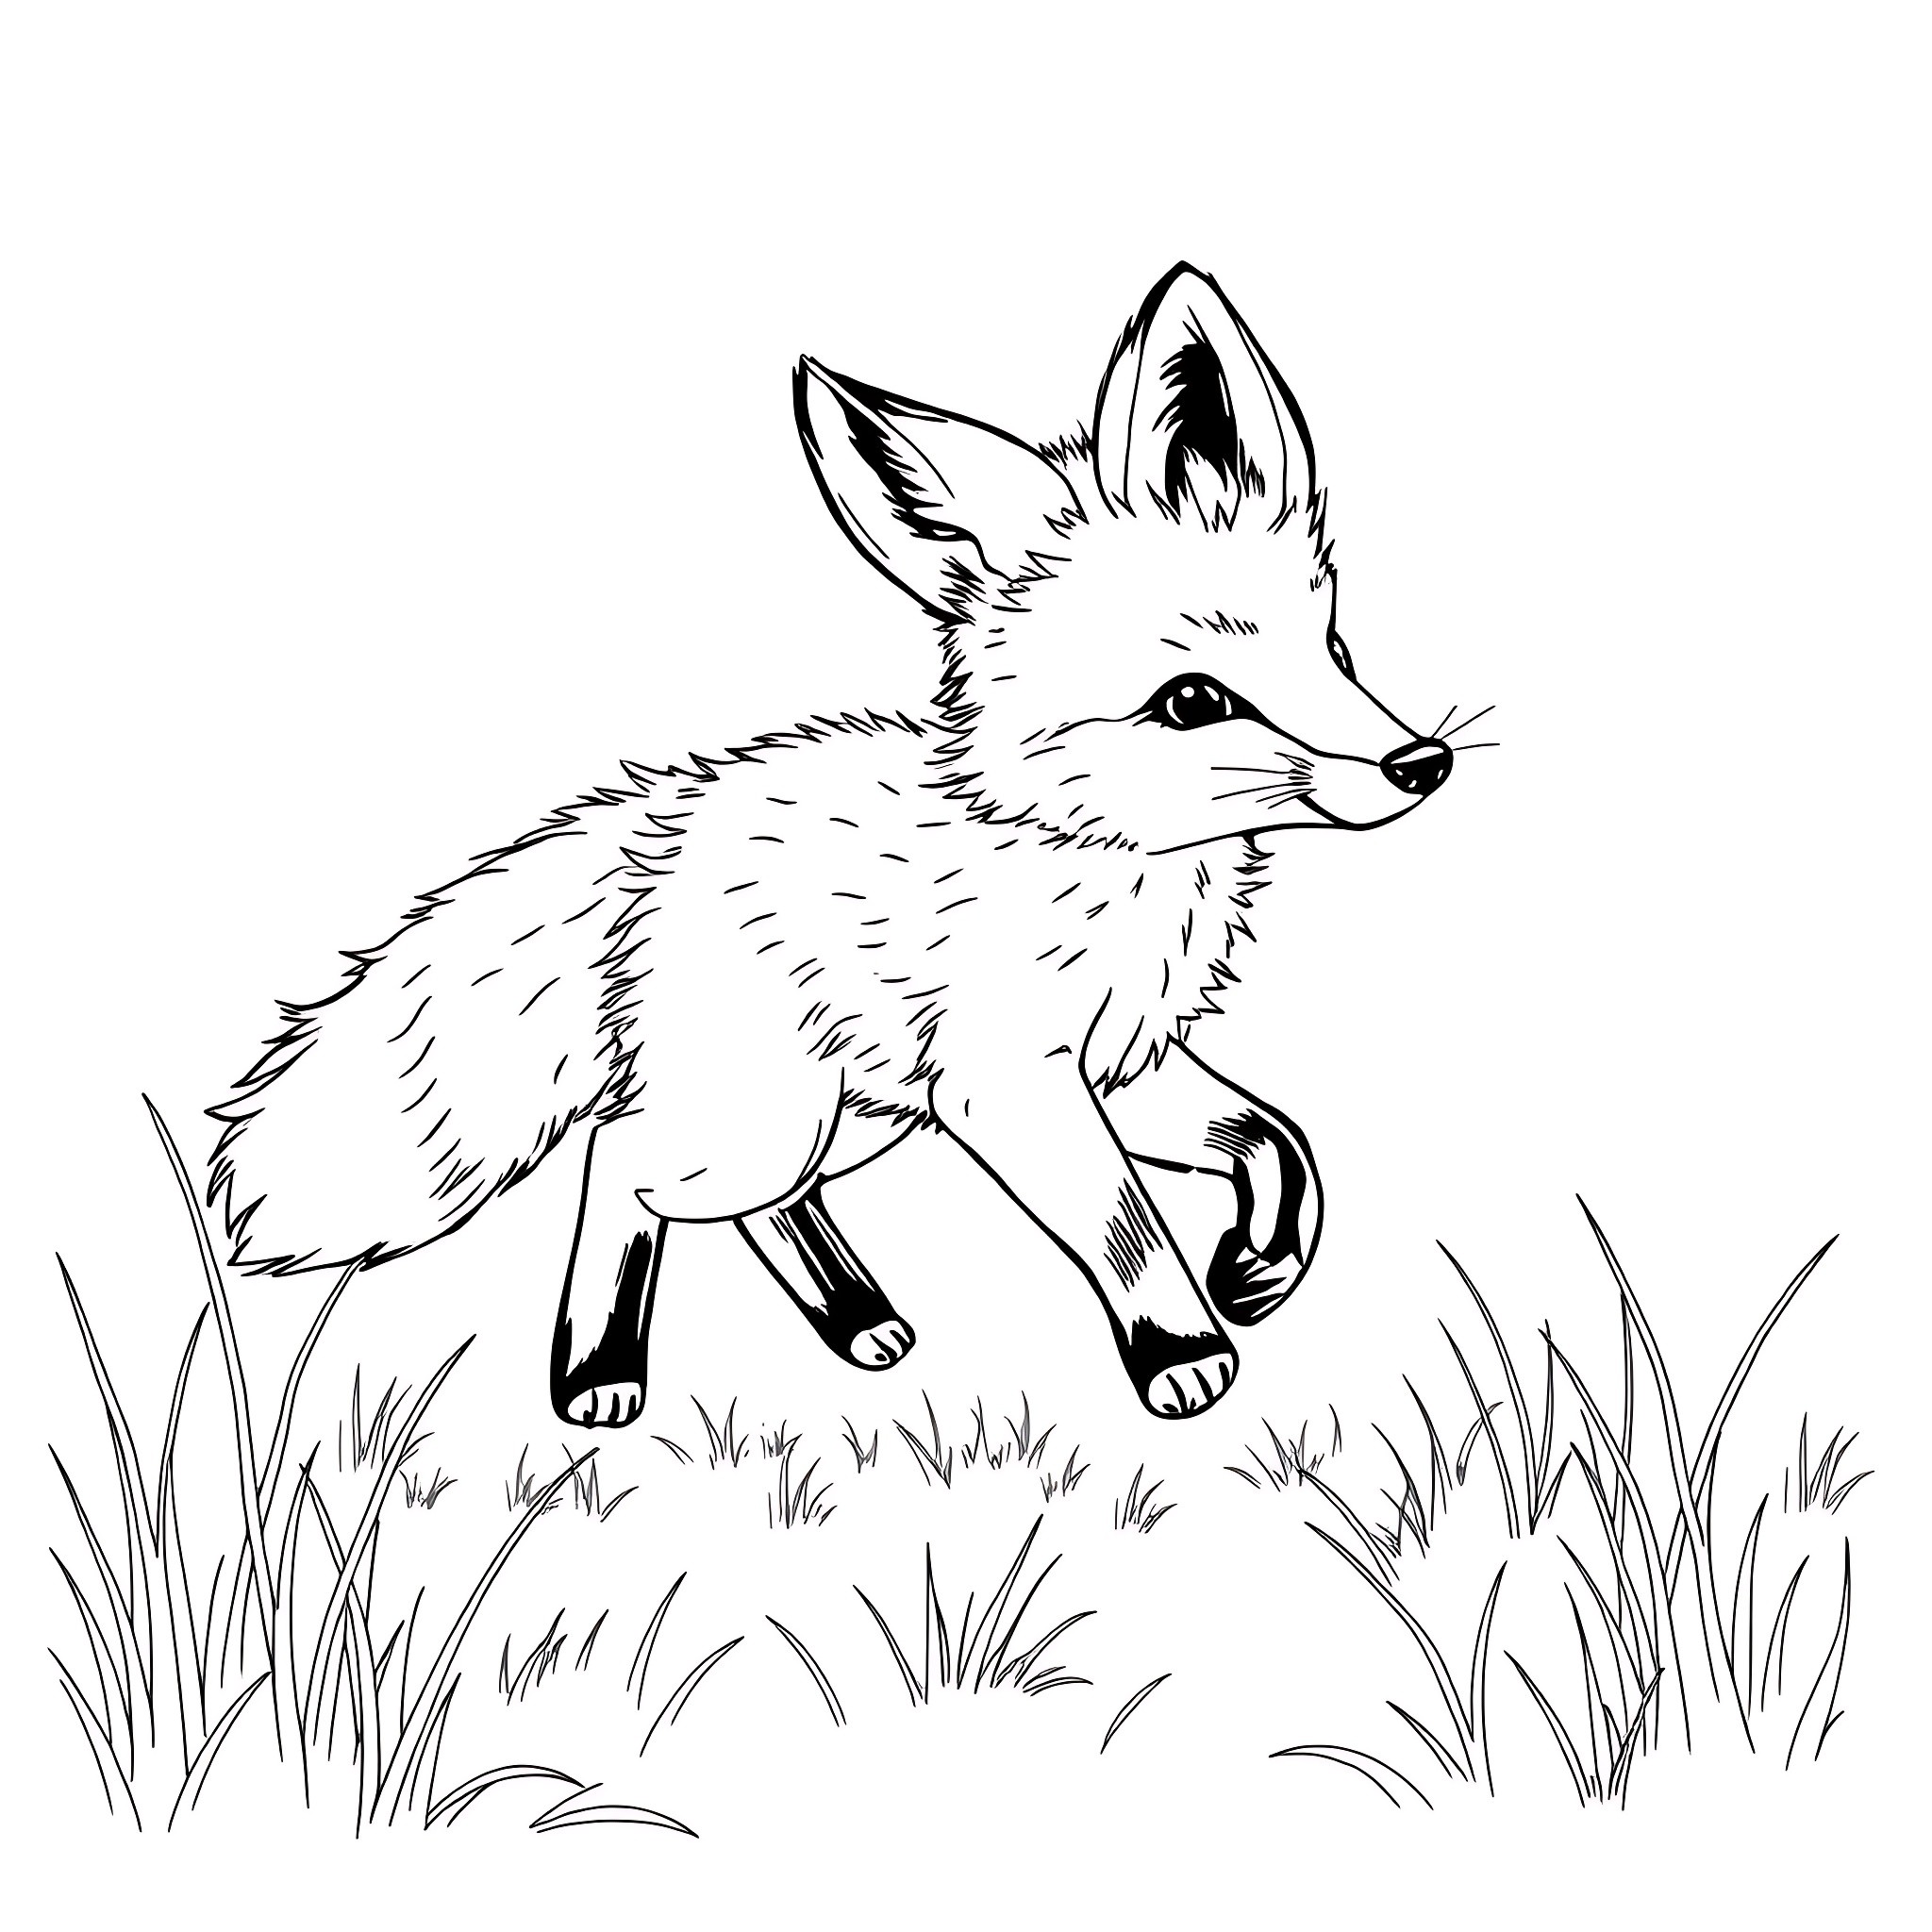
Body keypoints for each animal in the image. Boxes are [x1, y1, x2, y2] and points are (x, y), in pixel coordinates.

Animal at [209, 264, 1458, 1426]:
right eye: (1193, 700)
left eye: (1332, 650)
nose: (1421, 764)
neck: (1084, 859)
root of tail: (658, 826)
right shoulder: (1009, 1085)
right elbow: (1124, 1227)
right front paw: (1181, 1350)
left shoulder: (1121, 1063)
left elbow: (1273, 1140)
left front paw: (1256, 1267)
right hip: (762, 1127)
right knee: (620, 1161)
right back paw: (598, 1368)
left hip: (852, 1119)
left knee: (753, 1200)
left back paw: (854, 1315)